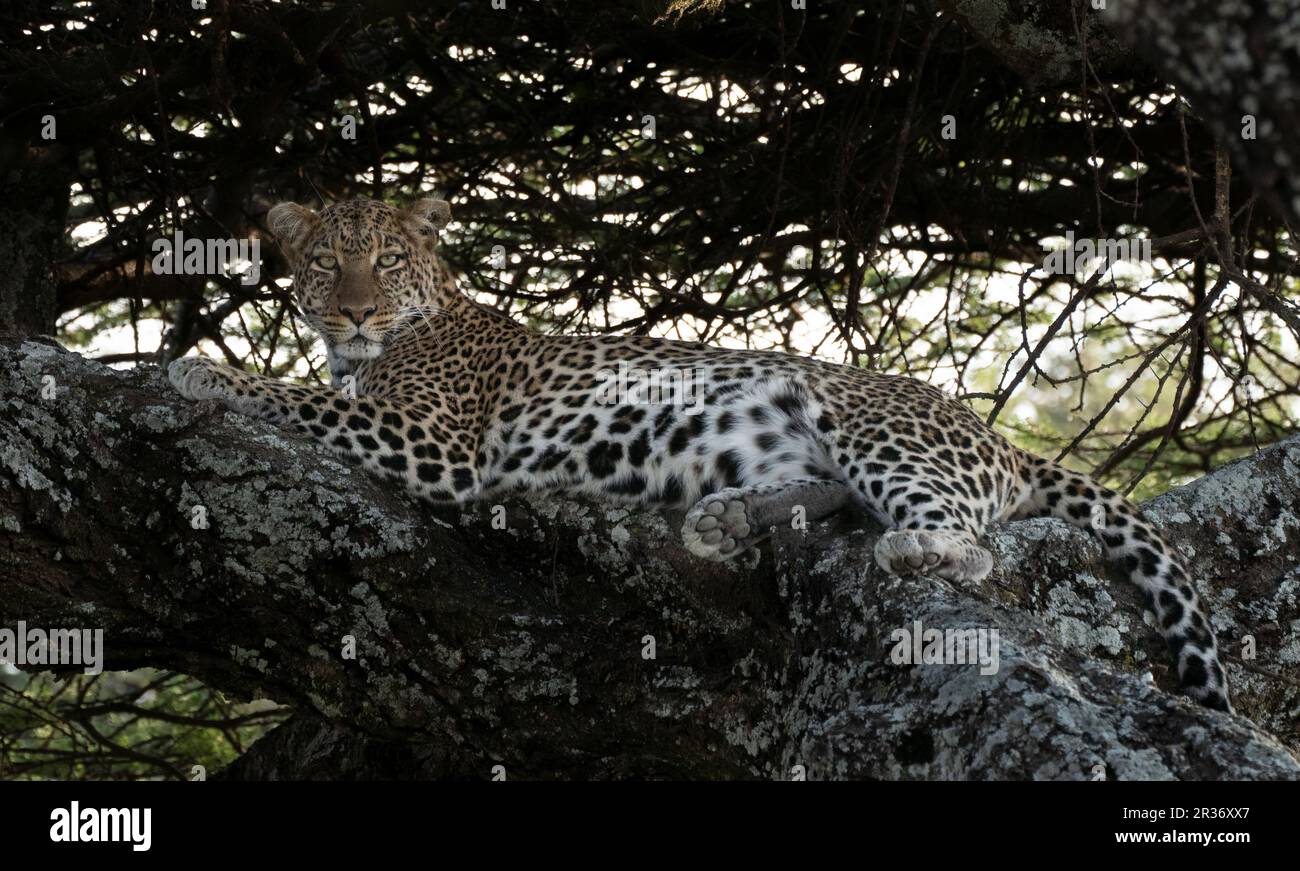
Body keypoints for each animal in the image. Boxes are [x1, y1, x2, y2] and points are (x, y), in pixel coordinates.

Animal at [168, 196, 1232, 713]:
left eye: (385, 263)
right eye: (322, 263)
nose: (352, 311)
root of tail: (998, 437)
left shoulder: (434, 439)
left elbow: (295, 393)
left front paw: (193, 369)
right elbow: (312, 388)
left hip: (861, 415)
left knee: (967, 540)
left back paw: (907, 546)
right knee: (838, 499)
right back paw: (725, 518)